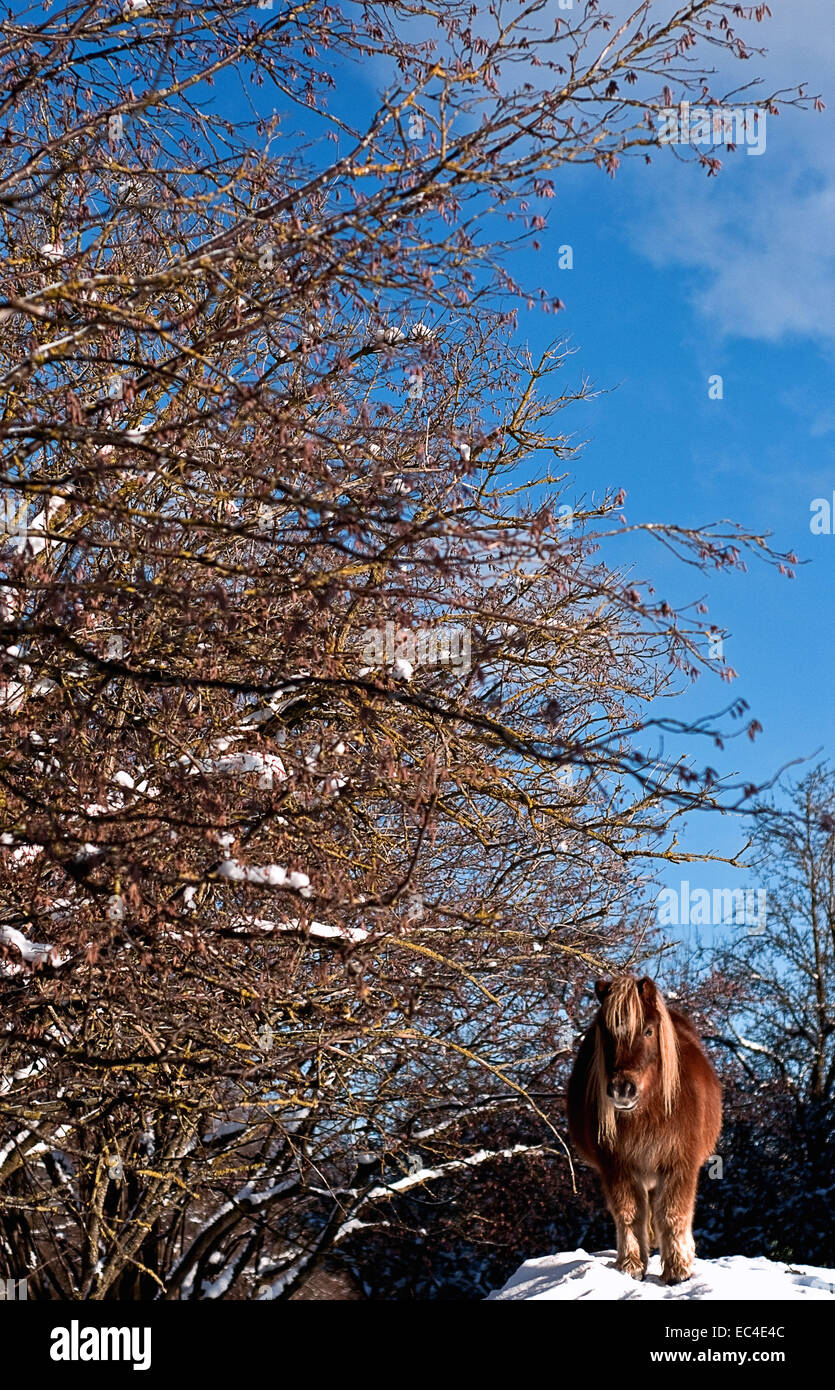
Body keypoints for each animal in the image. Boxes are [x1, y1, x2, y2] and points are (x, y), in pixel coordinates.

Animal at [567, 975, 721, 1284]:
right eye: (606, 1034)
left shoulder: (680, 1164)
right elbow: (629, 1213)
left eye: (649, 1031)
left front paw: (678, 1270)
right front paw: (631, 1266)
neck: (650, 1111)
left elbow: (674, 1214)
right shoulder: (618, 1167)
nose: (622, 1090)